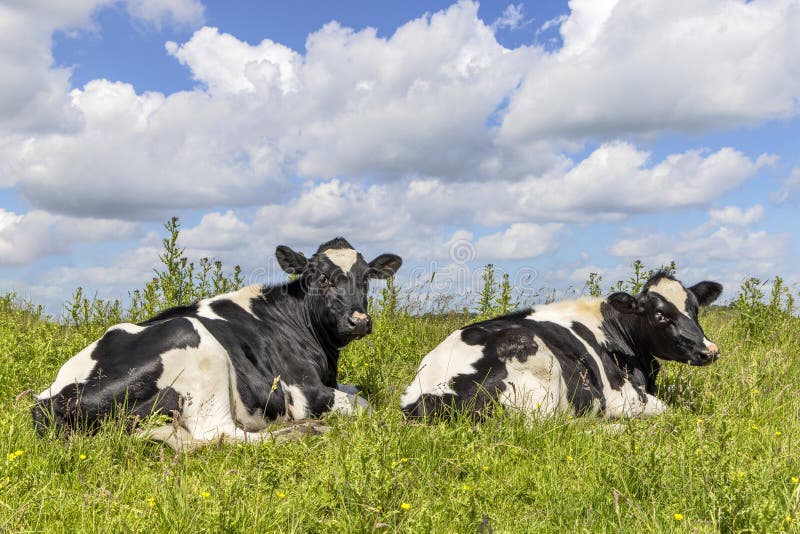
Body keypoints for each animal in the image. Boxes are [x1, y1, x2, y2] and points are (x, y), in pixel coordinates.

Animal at [33, 238, 401, 449]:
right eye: (322, 278)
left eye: (366, 278)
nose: (359, 320)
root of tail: (47, 402)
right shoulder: (303, 393)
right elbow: (364, 404)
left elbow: (358, 391)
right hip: (197, 350)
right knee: (221, 435)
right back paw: (305, 432)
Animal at [401, 272, 722, 420]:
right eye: (660, 315)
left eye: (695, 308)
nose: (709, 350)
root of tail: (424, 397)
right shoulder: (625, 396)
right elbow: (668, 410)